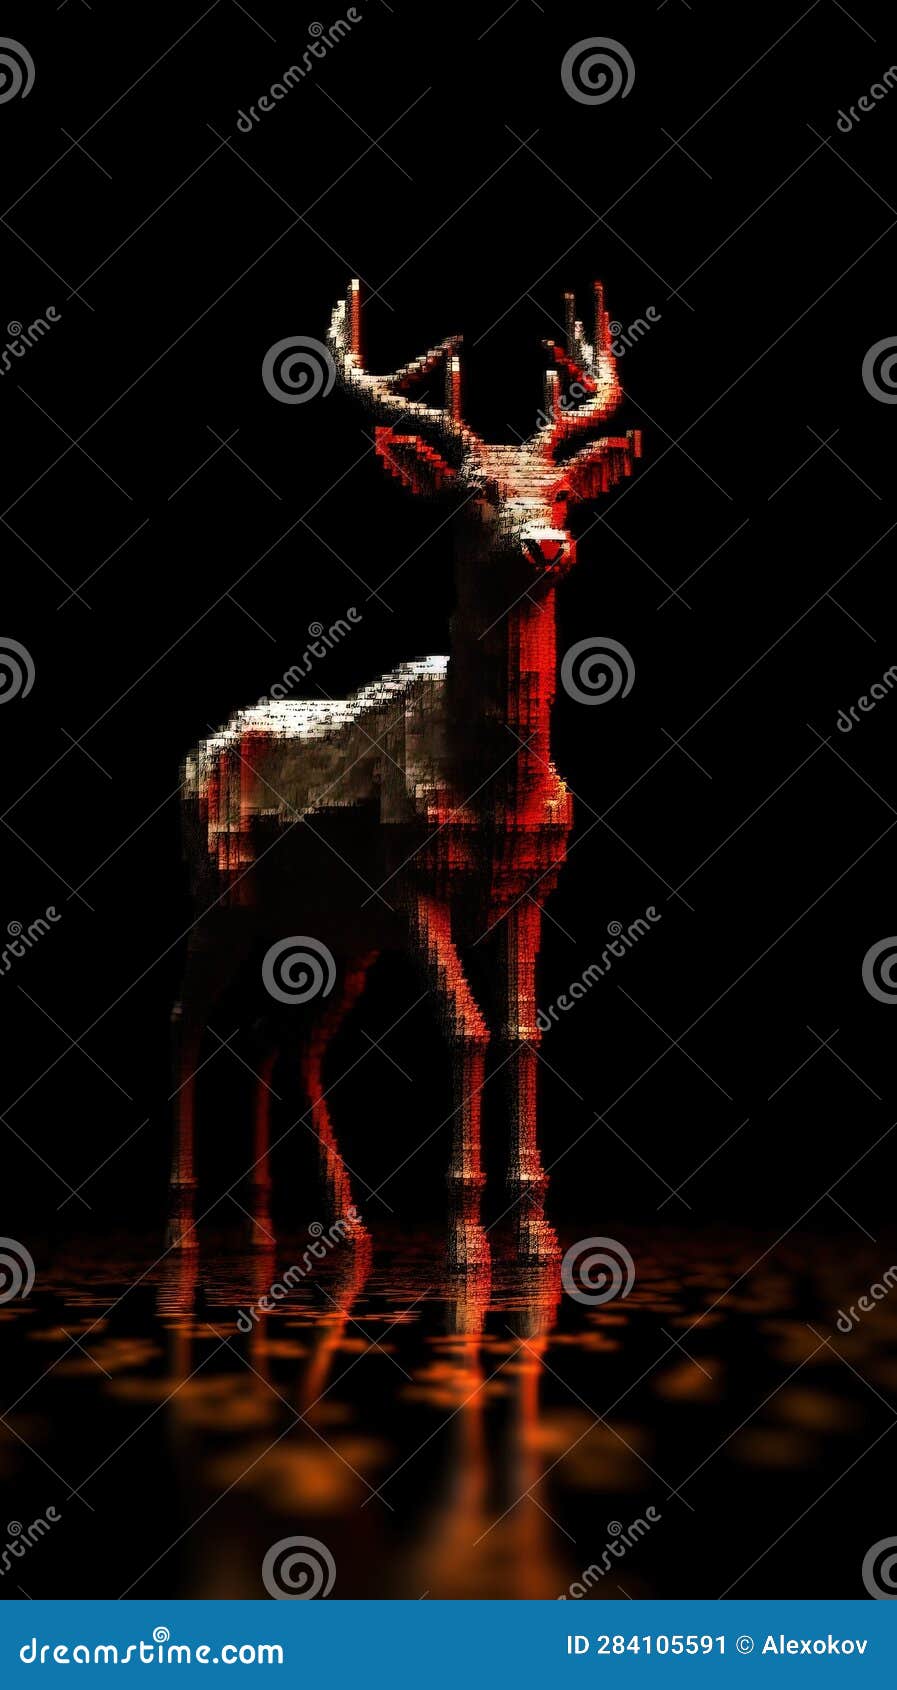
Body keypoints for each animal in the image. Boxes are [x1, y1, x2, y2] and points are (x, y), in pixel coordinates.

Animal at [169, 277, 641, 1272]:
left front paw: (534, 1232)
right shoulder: (411, 874)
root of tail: (199, 747)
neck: (493, 785)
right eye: (473, 492)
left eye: (564, 491)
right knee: (187, 1021)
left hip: (338, 931)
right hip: (218, 890)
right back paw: (186, 1225)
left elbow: (523, 1030)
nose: (545, 544)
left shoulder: (531, 884)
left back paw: (309, 1224)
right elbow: (463, 1031)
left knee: (278, 1041)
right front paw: (466, 1242)